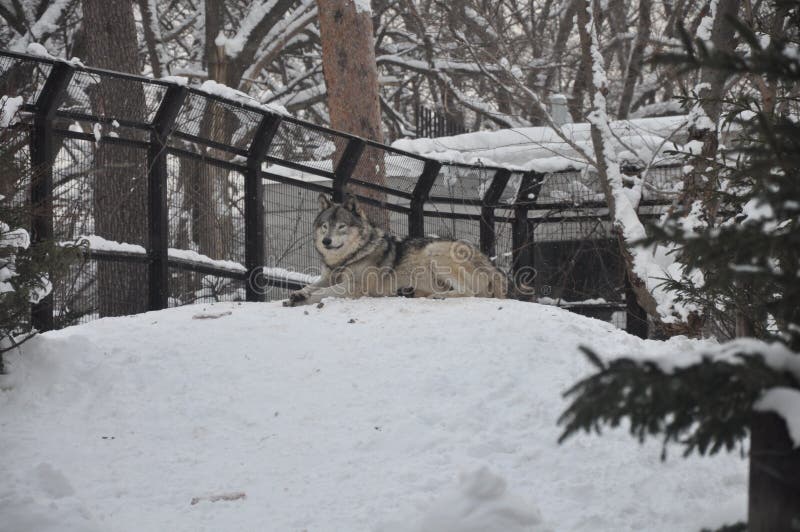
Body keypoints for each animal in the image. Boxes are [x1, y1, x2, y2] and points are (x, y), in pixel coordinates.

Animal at [283, 194, 508, 307]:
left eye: (341, 226)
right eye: (325, 226)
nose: (326, 241)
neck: (348, 258)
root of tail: (492, 266)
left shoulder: (355, 287)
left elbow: (323, 292)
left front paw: (303, 299)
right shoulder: (328, 277)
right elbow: (312, 286)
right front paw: (299, 294)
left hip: (434, 250)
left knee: (470, 293)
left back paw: (436, 297)